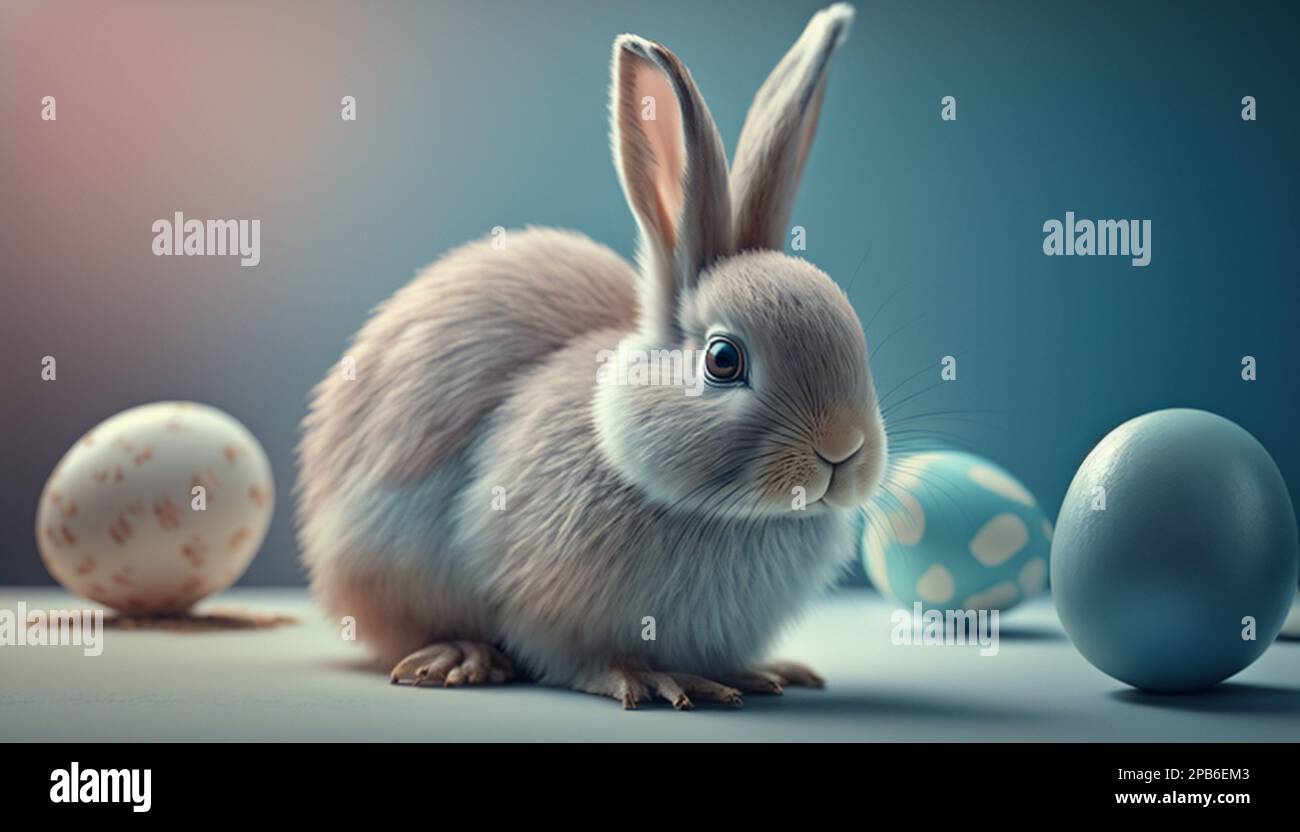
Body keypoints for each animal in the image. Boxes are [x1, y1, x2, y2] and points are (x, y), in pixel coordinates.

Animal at [296, 2, 886, 709]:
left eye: (857, 338)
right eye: (723, 360)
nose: (844, 449)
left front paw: (755, 672)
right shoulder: (539, 605)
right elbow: (576, 657)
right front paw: (652, 678)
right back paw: (459, 656)